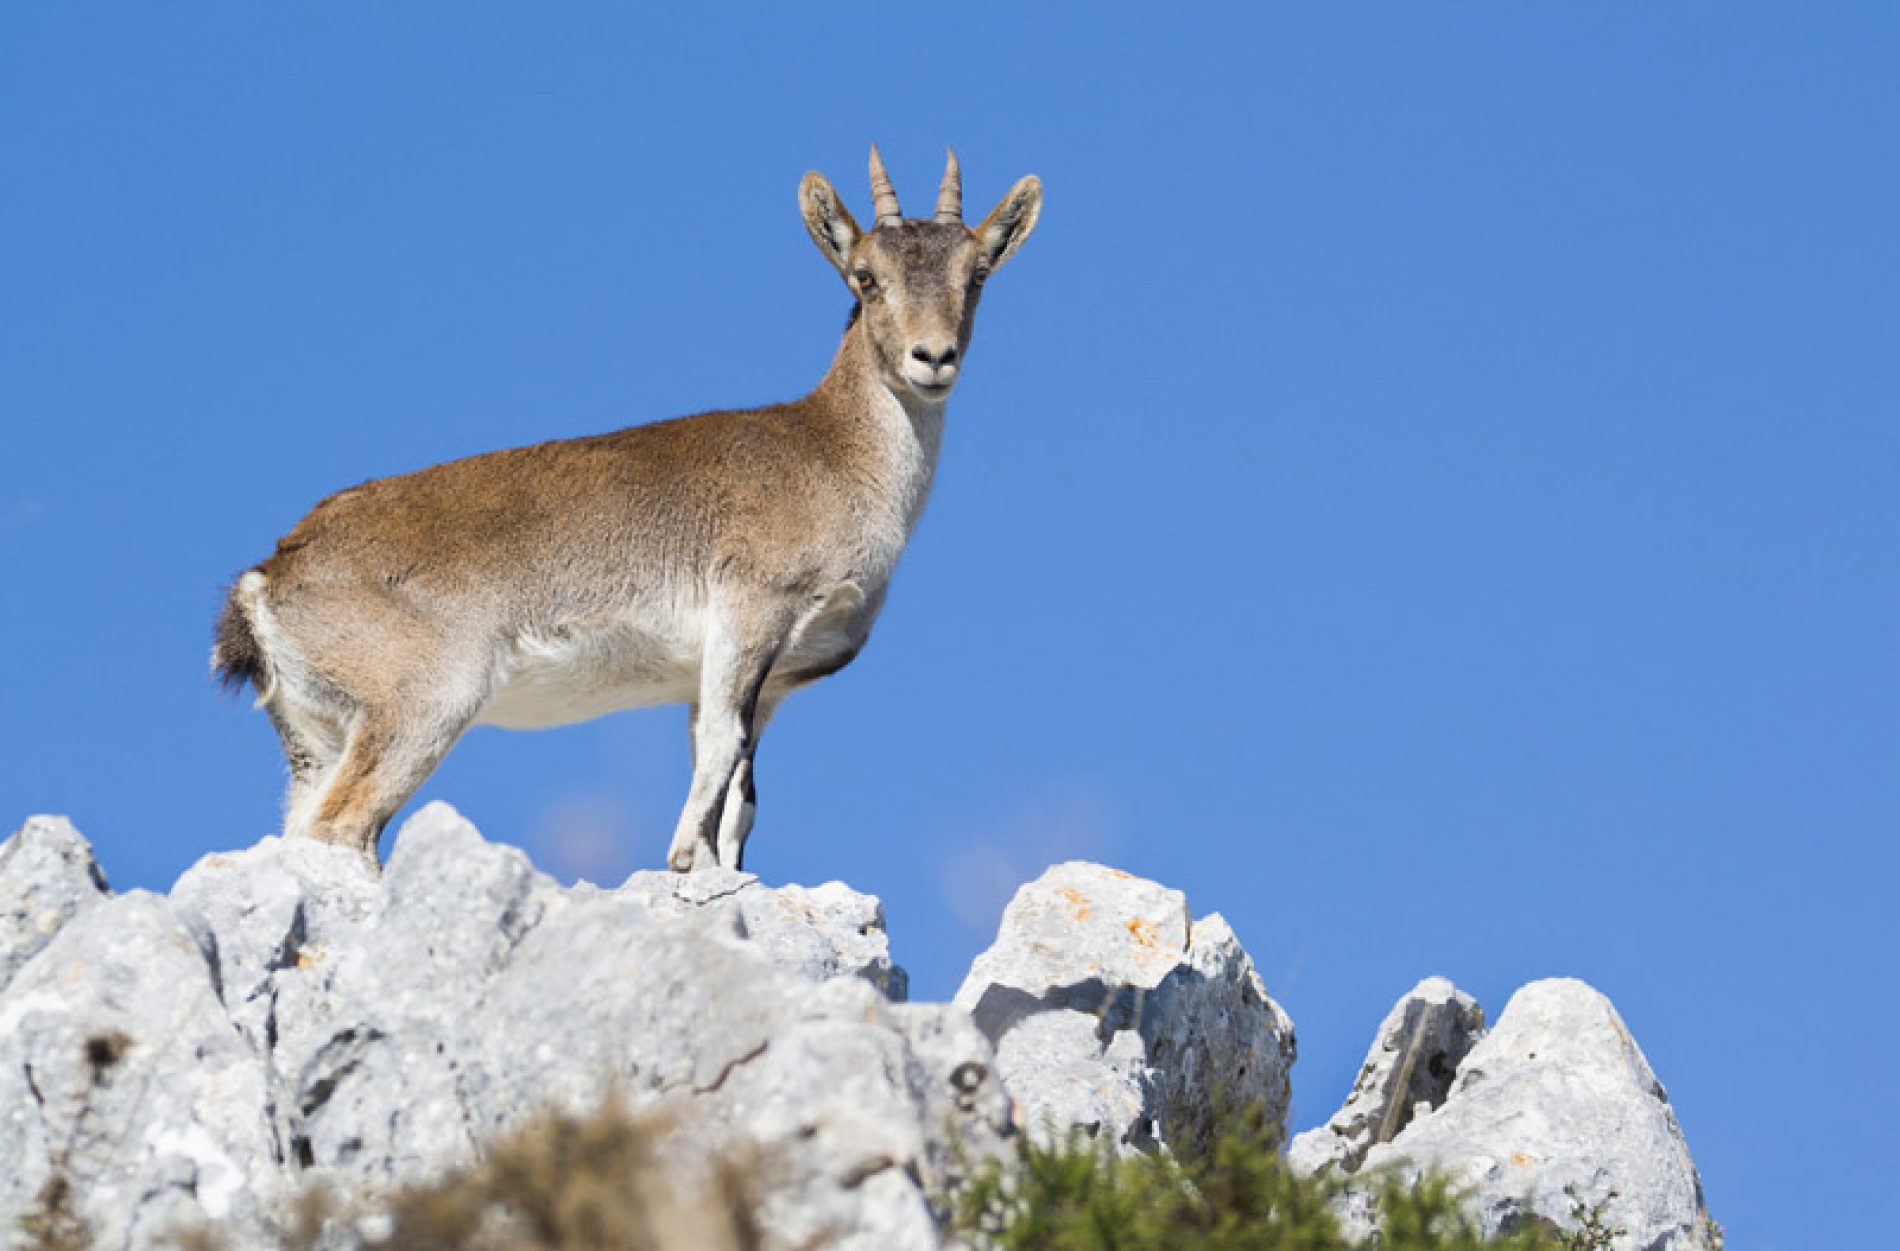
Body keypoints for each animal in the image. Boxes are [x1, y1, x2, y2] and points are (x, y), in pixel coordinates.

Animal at [212, 147, 1042, 872]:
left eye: (977, 274)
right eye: (866, 276)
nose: (932, 358)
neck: (832, 454)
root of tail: (269, 578)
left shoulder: (764, 682)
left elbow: (741, 792)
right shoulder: (750, 612)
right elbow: (720, 750)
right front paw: (682, 858)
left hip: (318, 733)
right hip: (422, 701)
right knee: (342, 827)